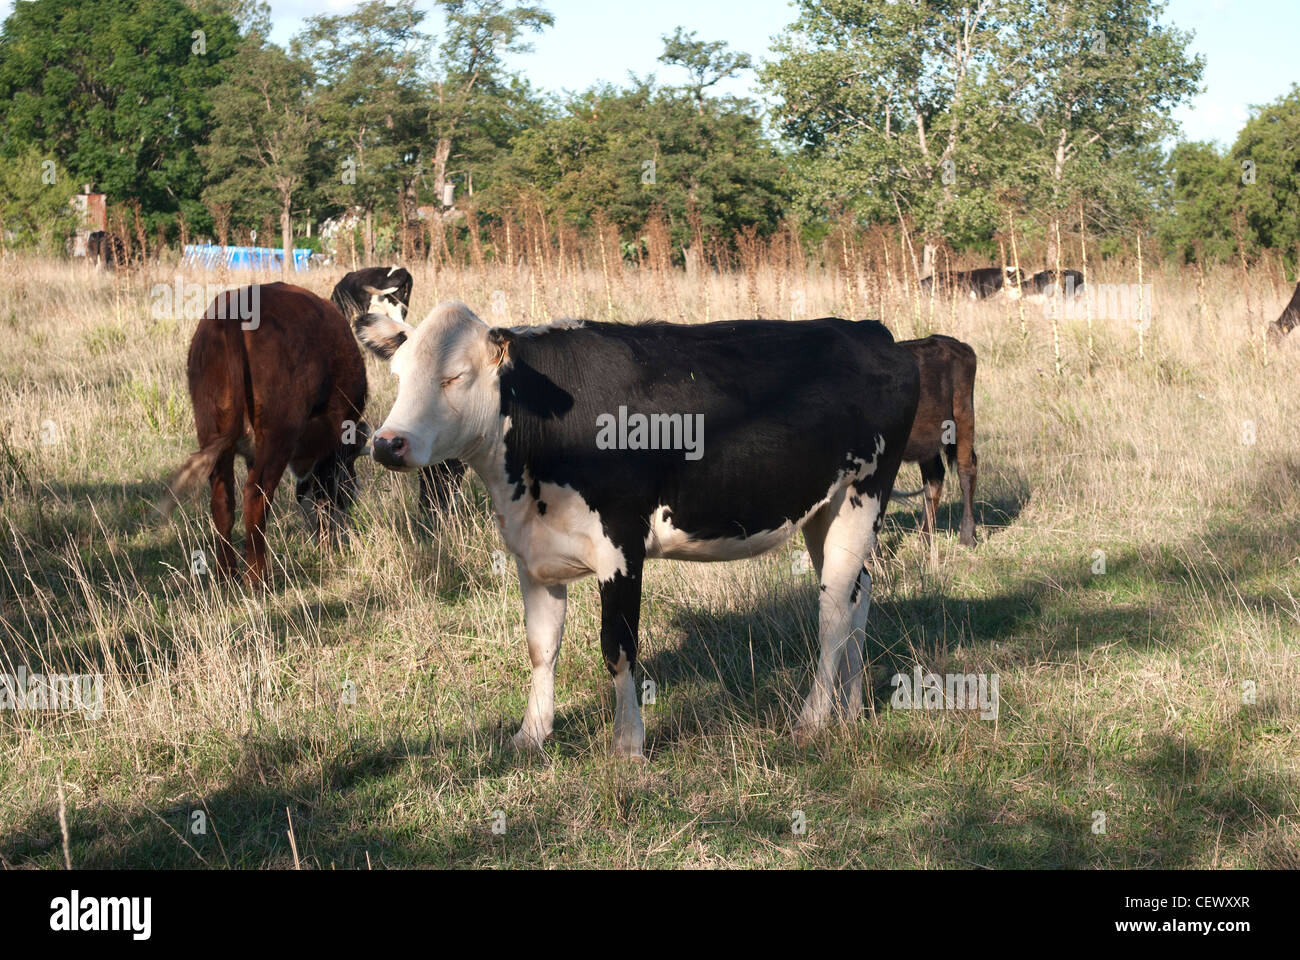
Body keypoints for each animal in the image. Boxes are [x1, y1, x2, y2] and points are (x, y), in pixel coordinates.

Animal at [159, 283, 368, 585]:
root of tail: (234, 311)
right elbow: (321, 495)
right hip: (278, 435)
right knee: (256, 496)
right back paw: (257, 579)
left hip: (212, 430)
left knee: (223, 500)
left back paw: (227, 573)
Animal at [354, 302, 920, 758]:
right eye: (400, 375)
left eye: (454, 377)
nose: (386, 443)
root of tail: (867, 330)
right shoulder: (533, 555)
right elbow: (541, 646)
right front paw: (531, 735)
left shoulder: (621, 546)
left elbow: (618, 646)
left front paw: (628, 745)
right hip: (824, 511)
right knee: (858, 593)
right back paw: (849, 710)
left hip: (863, 495)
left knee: (832, 611)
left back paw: (813, 719)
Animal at [894, 335, 979, 548]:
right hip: (927, 439)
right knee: (934, 477)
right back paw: (924, 537)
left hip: (963, 416)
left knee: (966, 471)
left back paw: (967, 537)